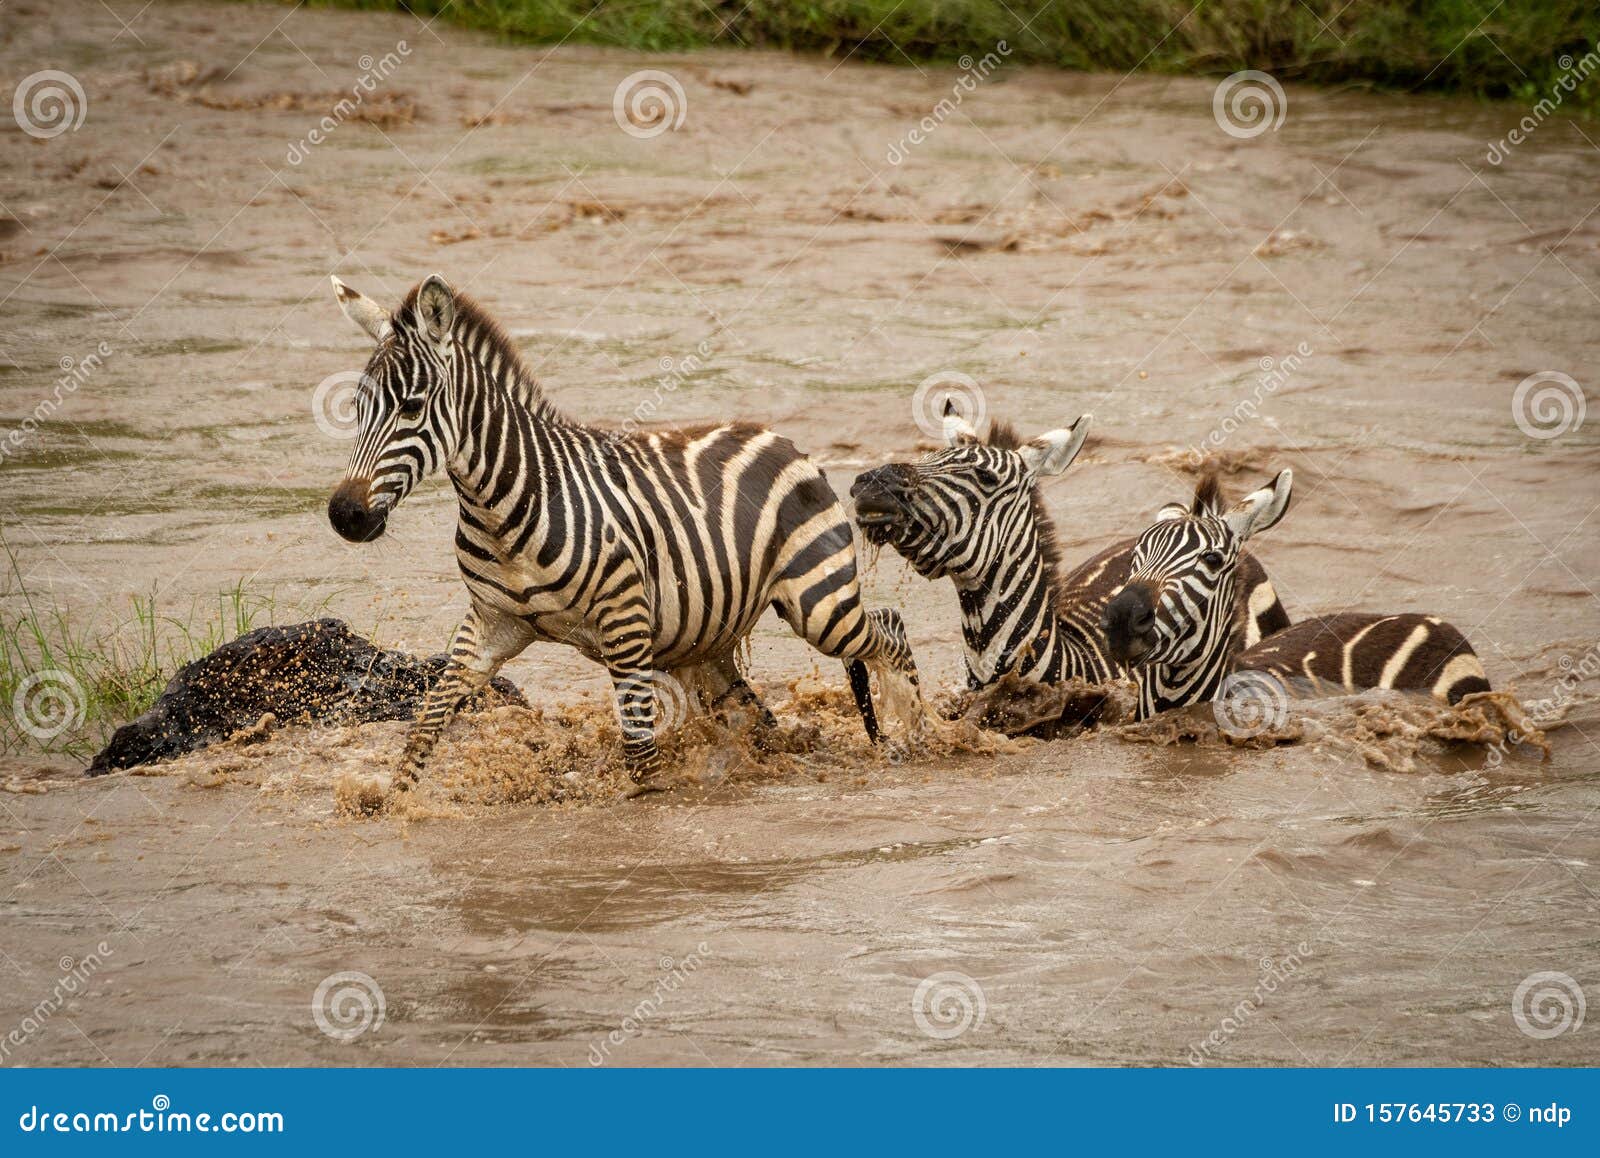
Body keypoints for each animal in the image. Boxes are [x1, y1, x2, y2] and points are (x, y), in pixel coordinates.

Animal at [323, 274, 920, 792]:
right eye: (356, 407)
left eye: (411, 407)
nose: (345, 515)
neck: (500, 509)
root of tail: (779, 438)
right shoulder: (490, 624)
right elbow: (427, 720)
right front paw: (393, 803)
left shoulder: (626, 619)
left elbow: (639, 752)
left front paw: (650, 802)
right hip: (706, 638)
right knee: (757, 716)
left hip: (817, 602)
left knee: (887, 630)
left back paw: (921, 733)